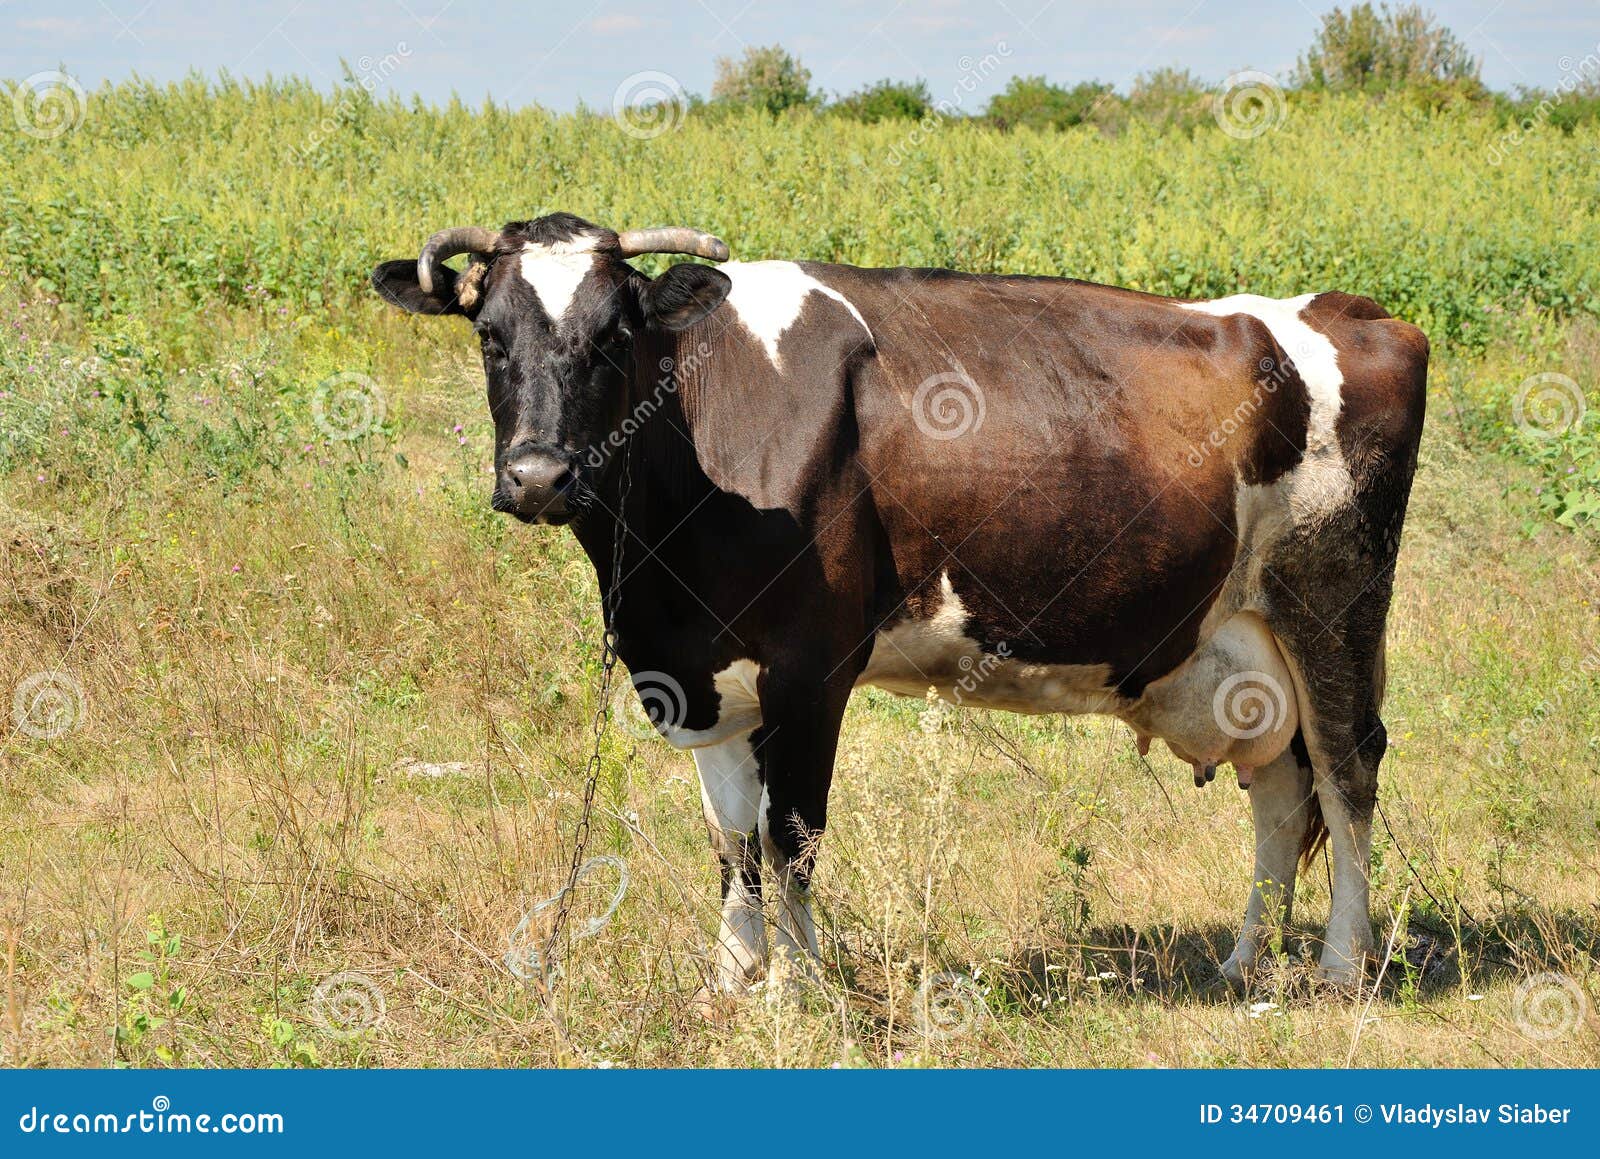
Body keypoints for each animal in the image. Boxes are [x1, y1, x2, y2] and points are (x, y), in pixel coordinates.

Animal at [371, 212, 1428, 995]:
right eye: (489, 336)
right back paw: (1245, 963)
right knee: (1282, 790)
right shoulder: (695, 669)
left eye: (613, 335)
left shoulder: (811, 666)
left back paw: (1340, 966)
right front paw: (732, 980)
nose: (539, 476)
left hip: (1332, 595)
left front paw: (800, 986)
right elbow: (729, 837)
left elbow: (791, 835)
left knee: (1347, 765)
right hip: (1240, 640)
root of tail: (1357, 311)